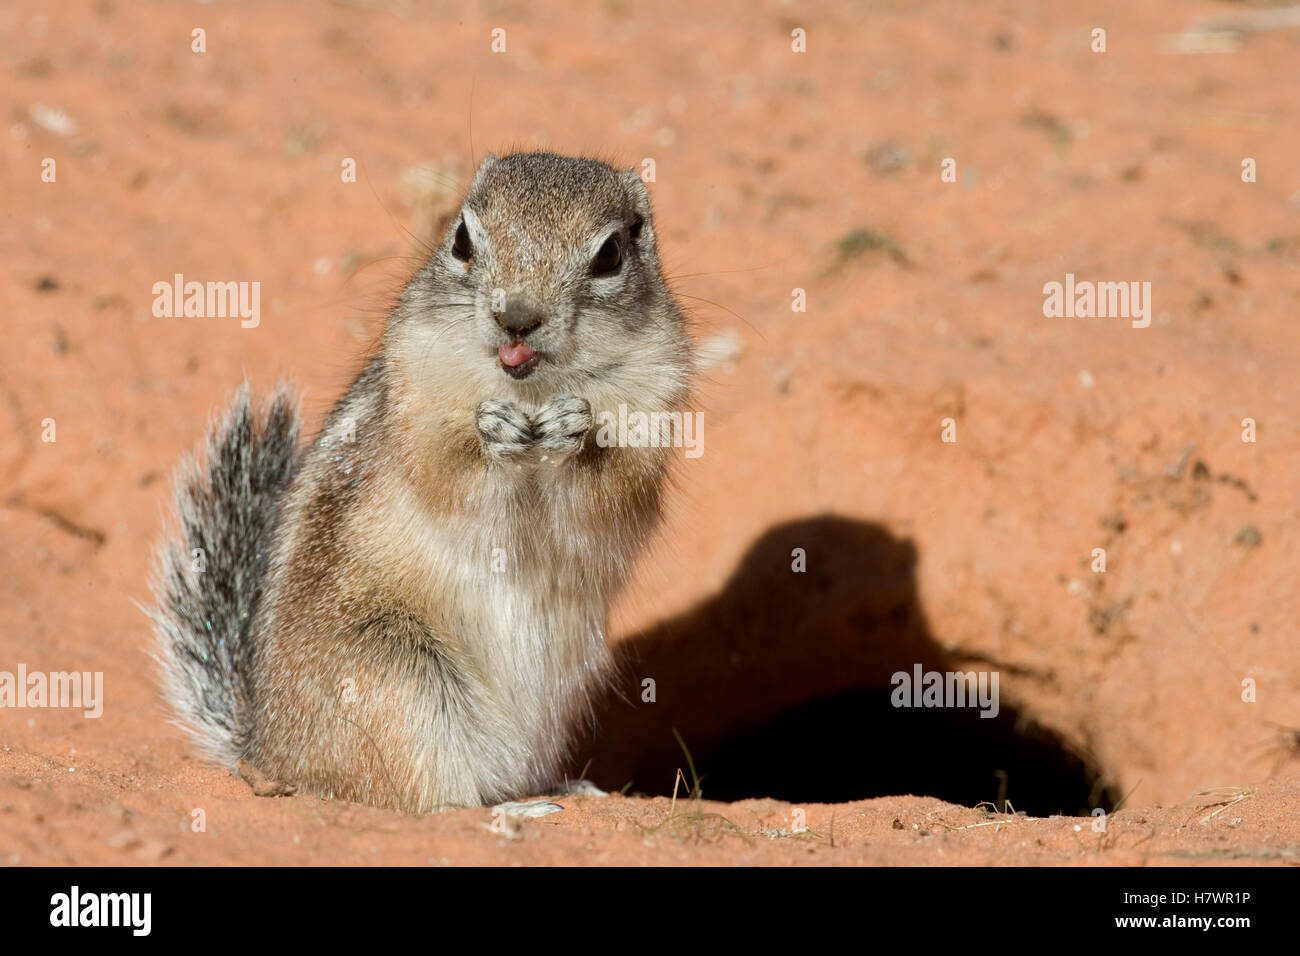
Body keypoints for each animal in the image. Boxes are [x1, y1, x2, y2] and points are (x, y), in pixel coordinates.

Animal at [150, 151, 693, 812]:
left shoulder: (653, 409)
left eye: (610, 253)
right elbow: (448, 474)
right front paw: (494, 436)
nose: (515, 318)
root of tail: (265, 747)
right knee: (430, 799)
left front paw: (574, 432)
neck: (532, 392)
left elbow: (607, 492)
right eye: (461, 239)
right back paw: (515, 805)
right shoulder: (414, 401)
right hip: (401, 678)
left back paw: (558, 785)